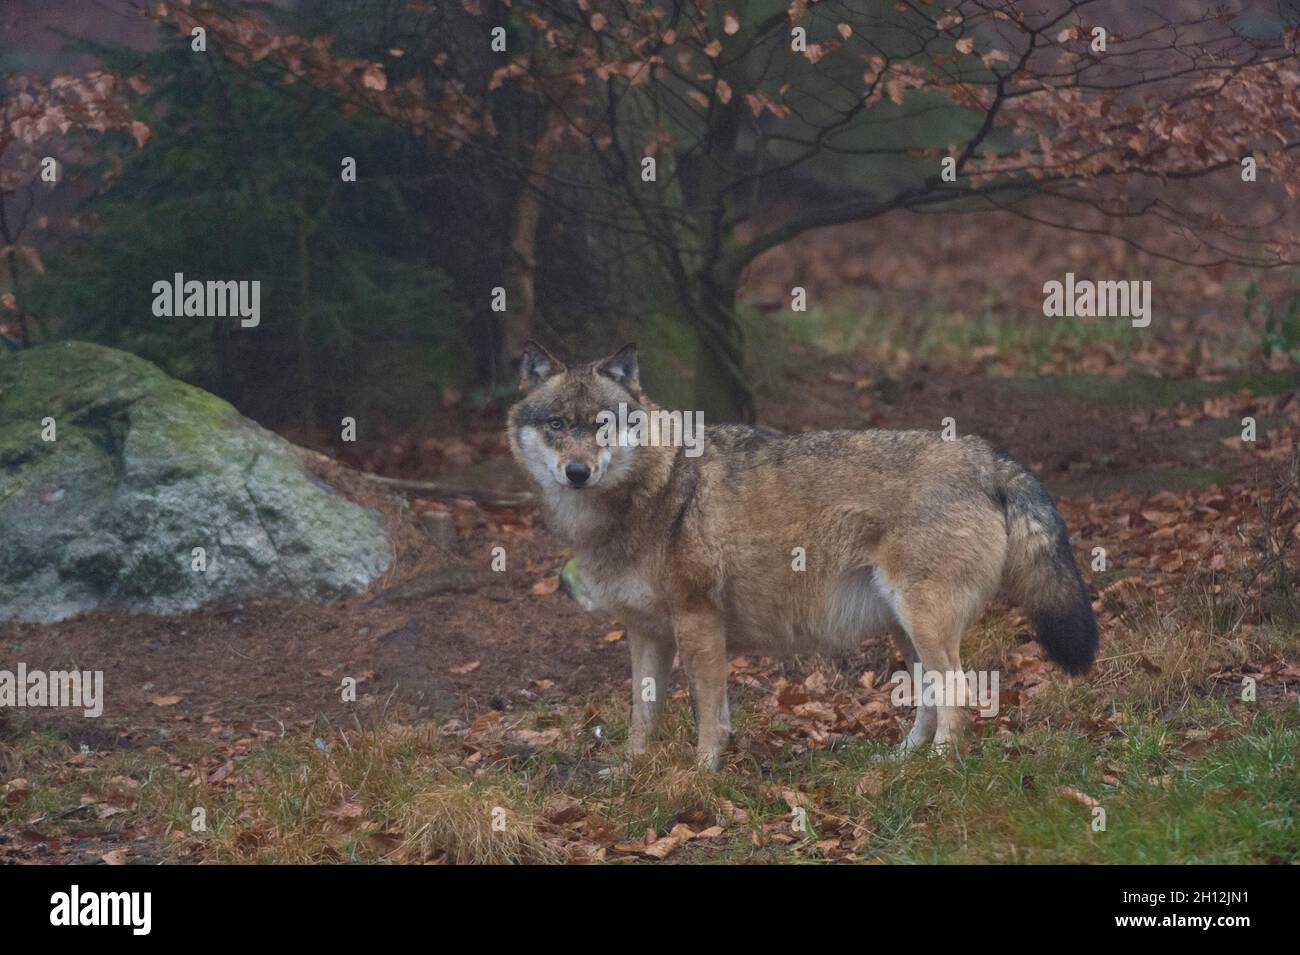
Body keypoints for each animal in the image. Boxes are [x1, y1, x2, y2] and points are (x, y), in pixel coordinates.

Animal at [508, 342, 1098, 770]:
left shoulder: (699, 621)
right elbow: (642, 714)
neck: (648, 493)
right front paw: (630, 772)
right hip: (905, 629)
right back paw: (901, 763)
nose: (577, 472)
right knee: (929, 699)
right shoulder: (646, 632)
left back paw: (941, 766)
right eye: (557, 425)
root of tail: (986, 454)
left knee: (957, 693)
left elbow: (708, 716)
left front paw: (700, 774)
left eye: (602, 425)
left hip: (924, 624)